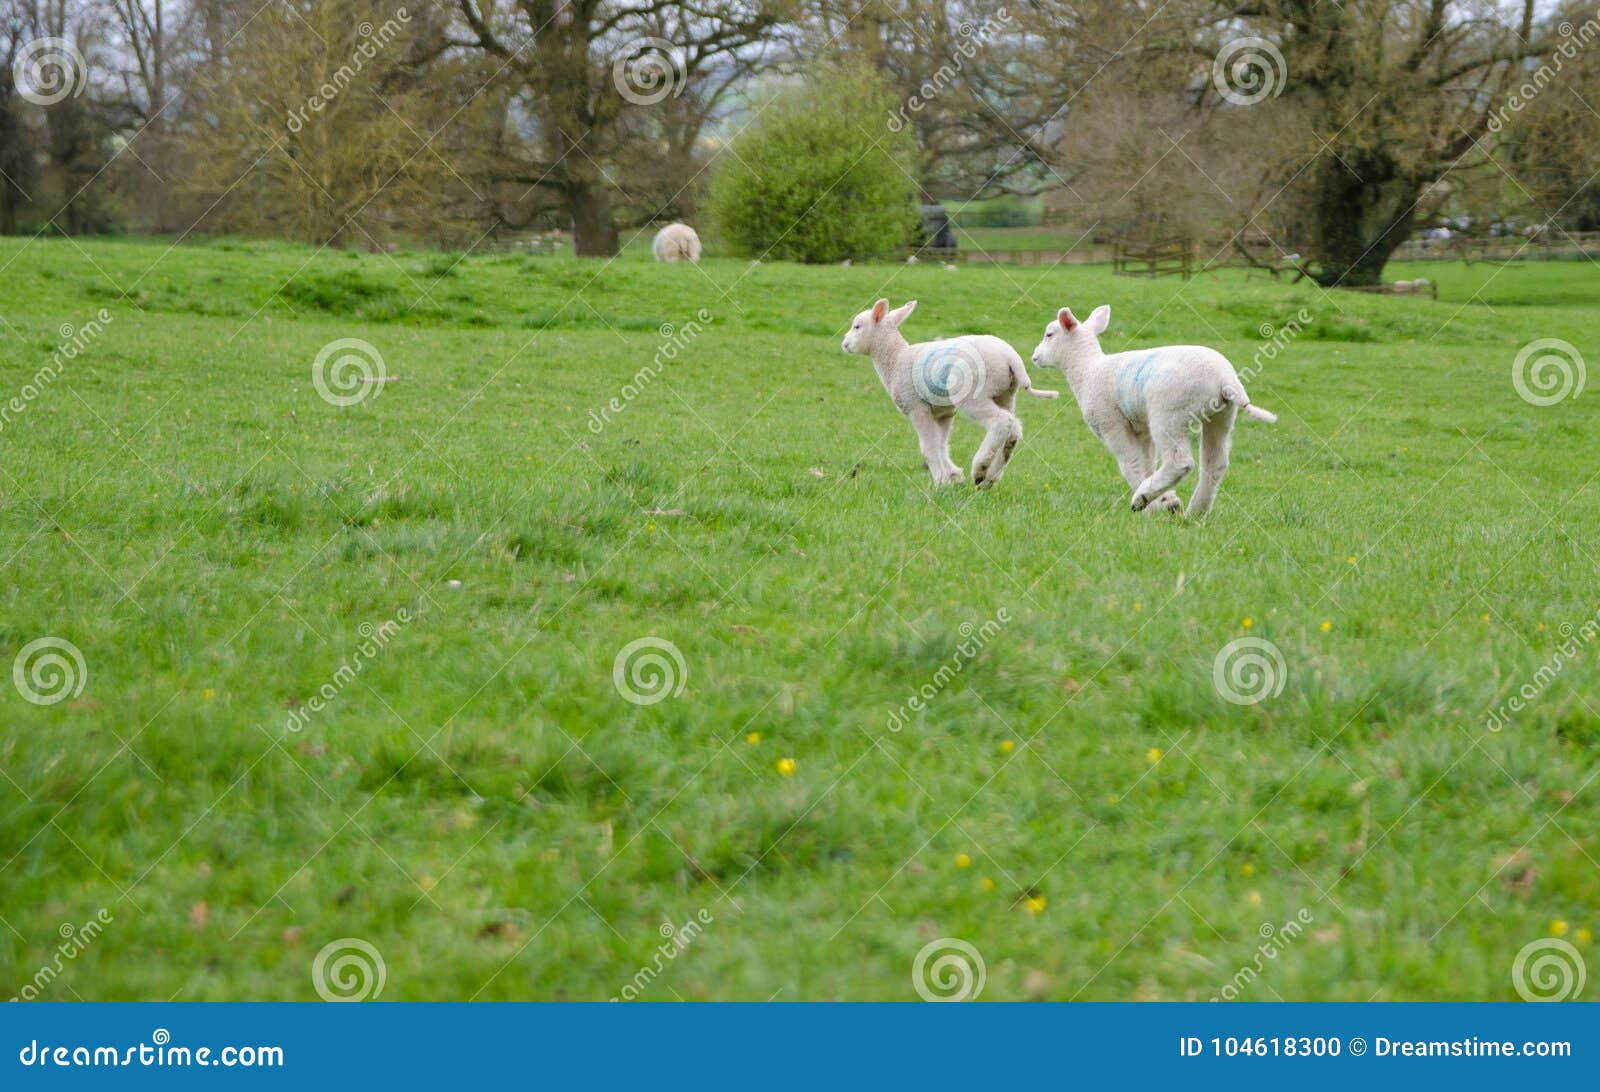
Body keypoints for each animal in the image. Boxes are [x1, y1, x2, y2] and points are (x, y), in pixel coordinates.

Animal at [843, 298, 1058, 488]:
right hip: (1005, 392)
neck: (895, 359)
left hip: (972, 392)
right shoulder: (943, 412)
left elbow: (929, 448)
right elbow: (941, 445)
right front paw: (954, 476)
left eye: (857, 326)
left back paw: (980, 469)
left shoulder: (916, 408)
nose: (844, 344)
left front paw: (940, 483)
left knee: (1001, 421)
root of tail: (1011, 358)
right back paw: (991, 477)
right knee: (1013, 427)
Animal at [1030, 303, 1276, 519]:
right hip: (1221, 416)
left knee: (1180, 462)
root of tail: (1226, 380)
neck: (1087, 370)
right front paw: (1165, 500)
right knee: (1215, 464)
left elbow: (1130, 463)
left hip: (1169, 414)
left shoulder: (1109, 422)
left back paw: (1143, 498)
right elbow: (1146, 463)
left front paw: (1156, 505)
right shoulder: (1141, 429)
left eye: (1049, 334)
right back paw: (1195, 513)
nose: (1034, 357)